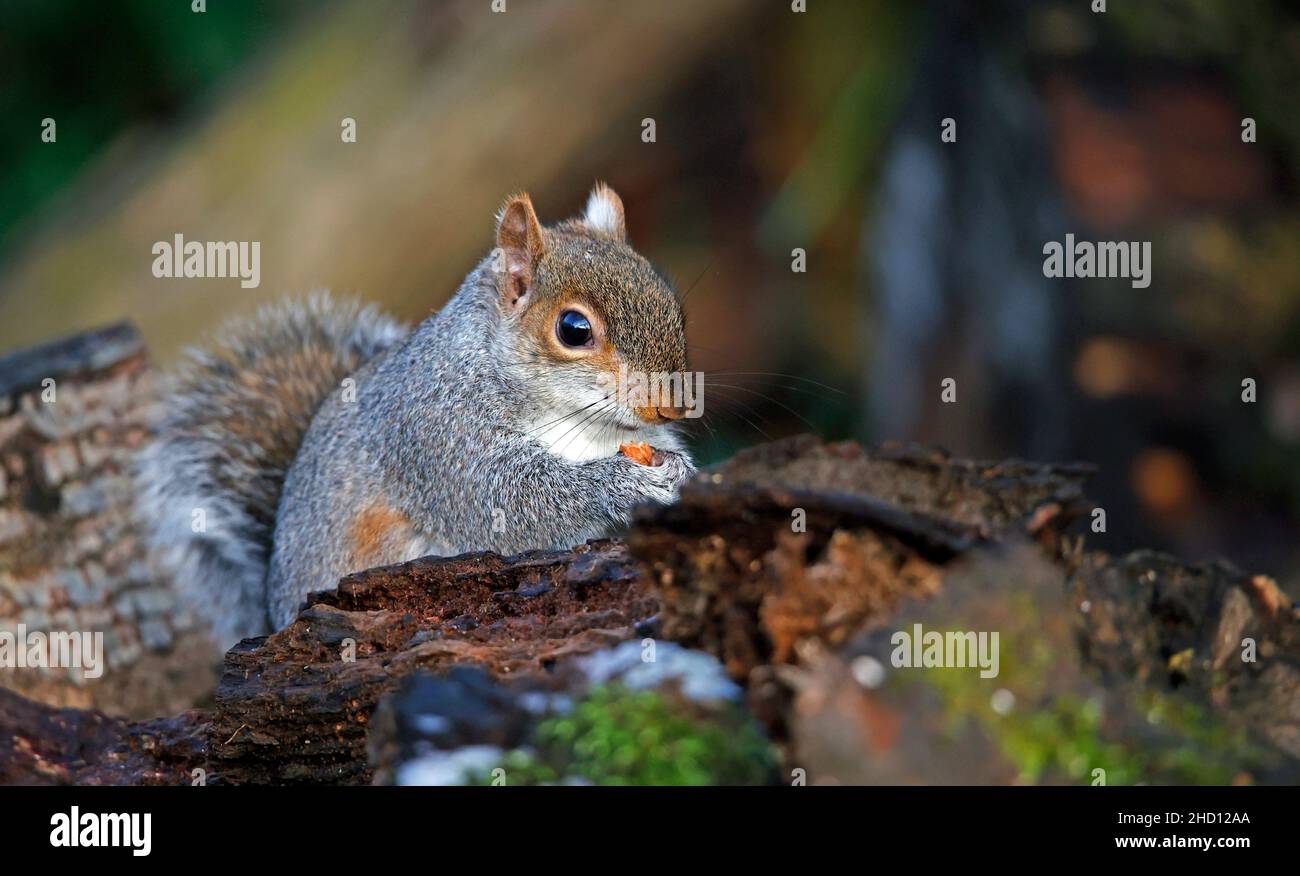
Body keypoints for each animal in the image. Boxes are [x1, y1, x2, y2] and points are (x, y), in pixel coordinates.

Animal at [136, 184, 696, 649]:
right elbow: (513, 499)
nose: (670, 405)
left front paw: (682, 471)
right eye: (574, 329)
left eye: (672, 305)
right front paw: (622, 483)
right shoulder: (438, 435)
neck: (580, 425)